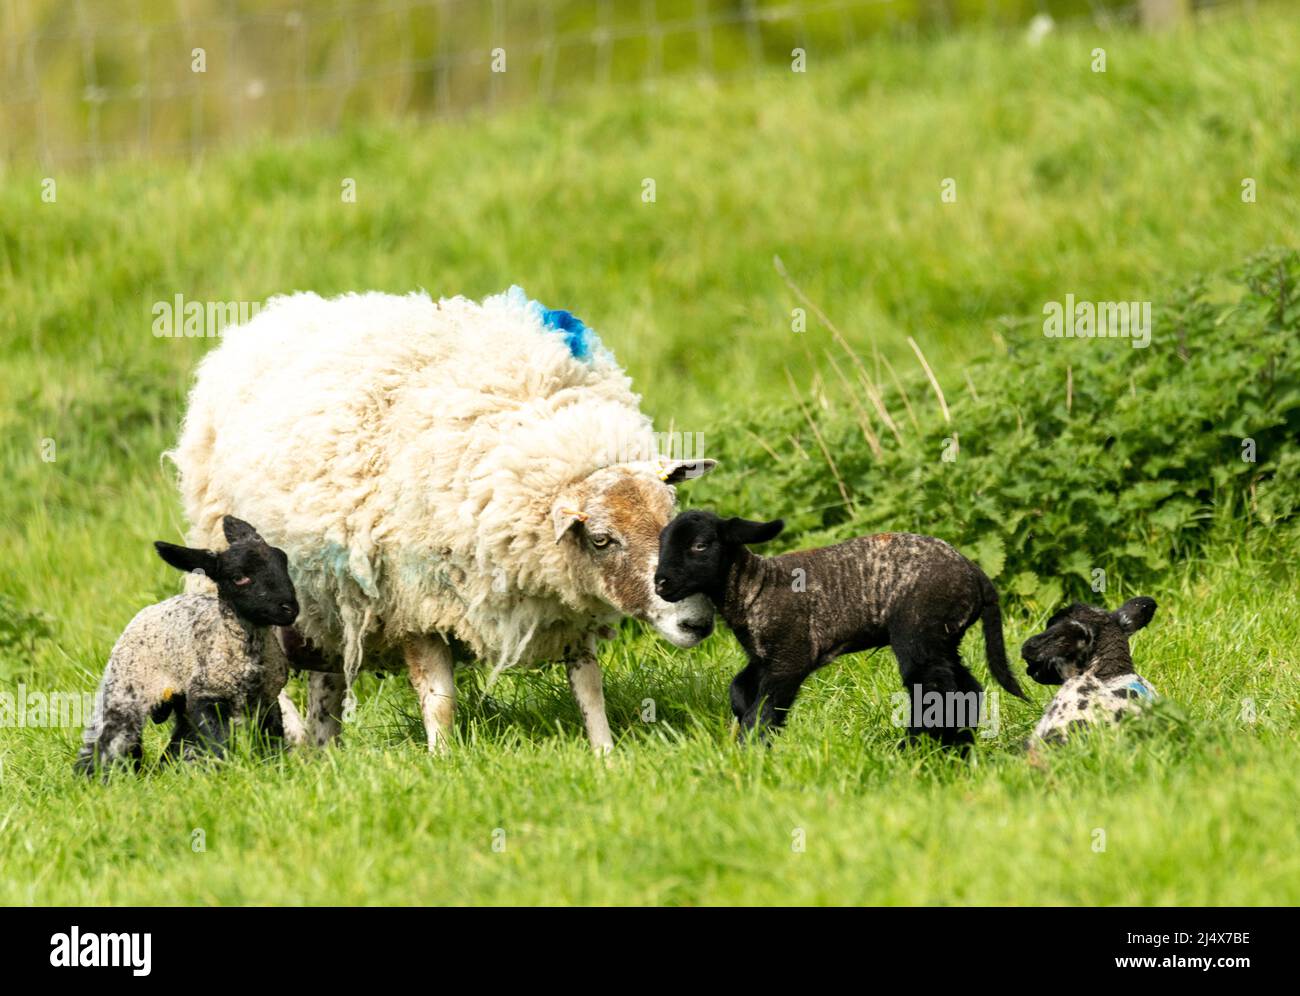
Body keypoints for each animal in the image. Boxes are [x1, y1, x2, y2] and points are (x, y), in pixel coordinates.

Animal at [74, 516, 299, 776]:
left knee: (178, 741)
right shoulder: (207, 696)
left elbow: (271, 740)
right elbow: (218, 741)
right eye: (239, 577)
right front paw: (224, 770)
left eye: (283, 561)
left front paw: (273, 767)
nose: (290, 608)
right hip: (126, 686)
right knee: (109, 738)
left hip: (179, 701)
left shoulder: (268, 699)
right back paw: (95, 776)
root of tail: (150, 609)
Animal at [168, 286, 717, 753]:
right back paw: (296, 736)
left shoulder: (566, 601)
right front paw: (444, 761)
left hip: (331, 601)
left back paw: (321, 752)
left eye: (671, 521)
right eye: (602, 539)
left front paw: (604, 754)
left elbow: (589, 687)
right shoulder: (414, 603)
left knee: (327, 679)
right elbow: (440, 700)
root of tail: (270, 315)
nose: (697, 622)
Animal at [653, 510, 1028, 748]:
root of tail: (975, 573)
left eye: (700, 545)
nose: (660, 584)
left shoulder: (790, 657)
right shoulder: (762, 659)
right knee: (967, 689)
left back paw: (919, 749)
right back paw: (959, 748)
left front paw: (751, 752)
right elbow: (739, 692)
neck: (753, 587)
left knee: (935, 691)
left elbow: (763, 712)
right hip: (946, 637)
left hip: (920, 630)